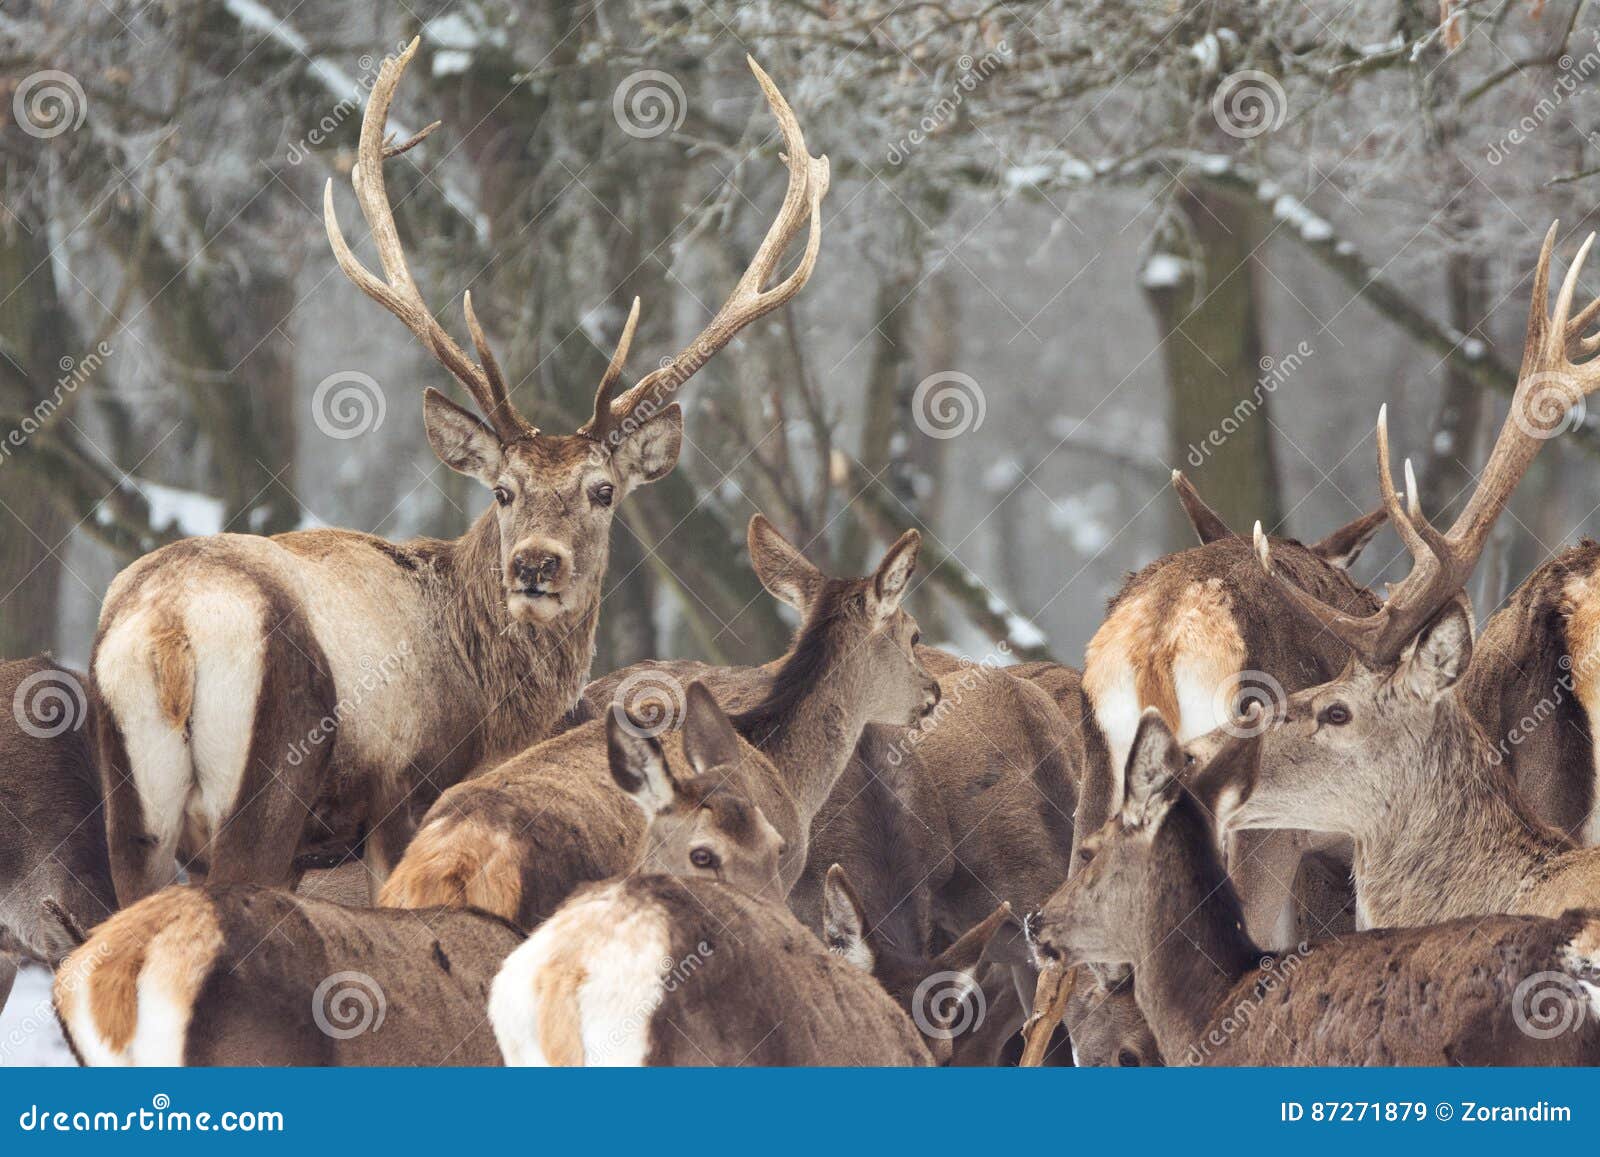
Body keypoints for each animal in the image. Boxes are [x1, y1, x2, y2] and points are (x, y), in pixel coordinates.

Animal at [88, 40, 828, 906]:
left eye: (602, 491)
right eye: (502, 491)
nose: (536, 564)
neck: (495, 708)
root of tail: (170, 631)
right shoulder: (405, 791)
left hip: (129, 801)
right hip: (270, 776)